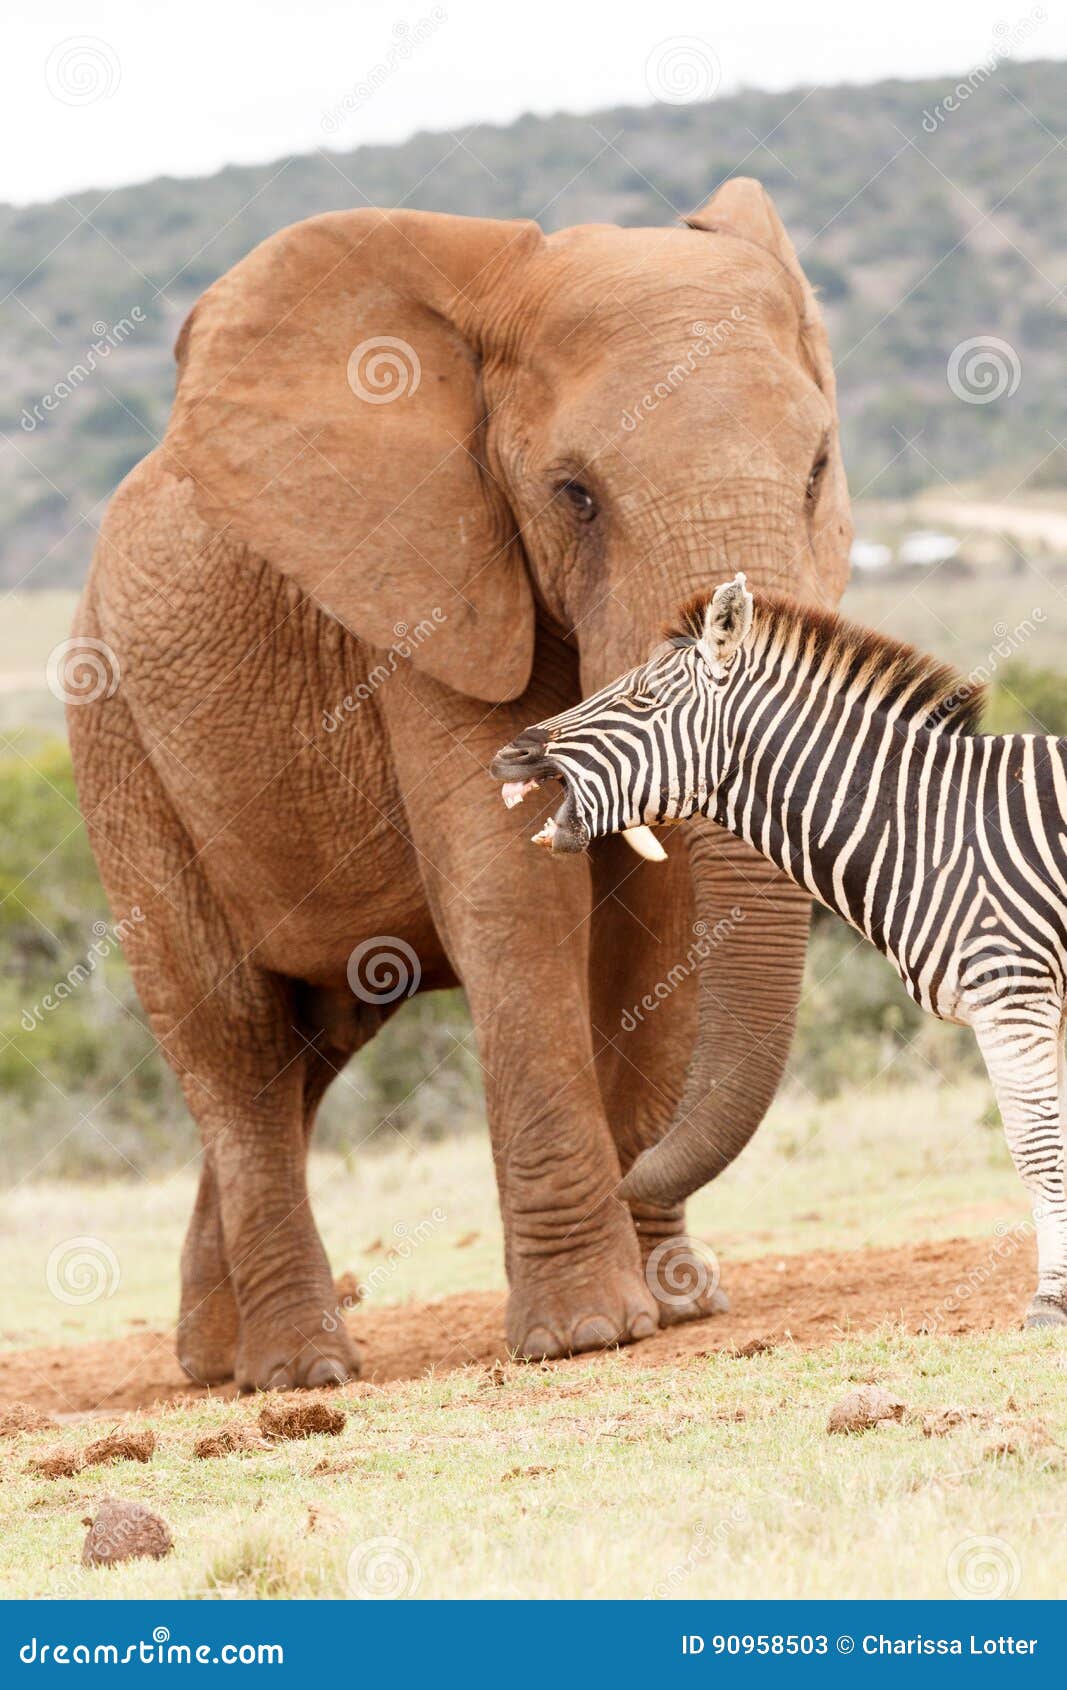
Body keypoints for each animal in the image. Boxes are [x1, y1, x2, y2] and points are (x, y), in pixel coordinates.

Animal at [67, 176, 851, 1391]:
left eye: (816, 470)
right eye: (574, 495)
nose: (641, 1178)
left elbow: (666, 918)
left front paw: (677, 1307)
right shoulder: (430, 601)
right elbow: (513, 892)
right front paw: (588, 1332)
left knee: (312, 1042)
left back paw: (213, 1360)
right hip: (118, 745)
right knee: (233, 1037)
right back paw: (297, 1372)